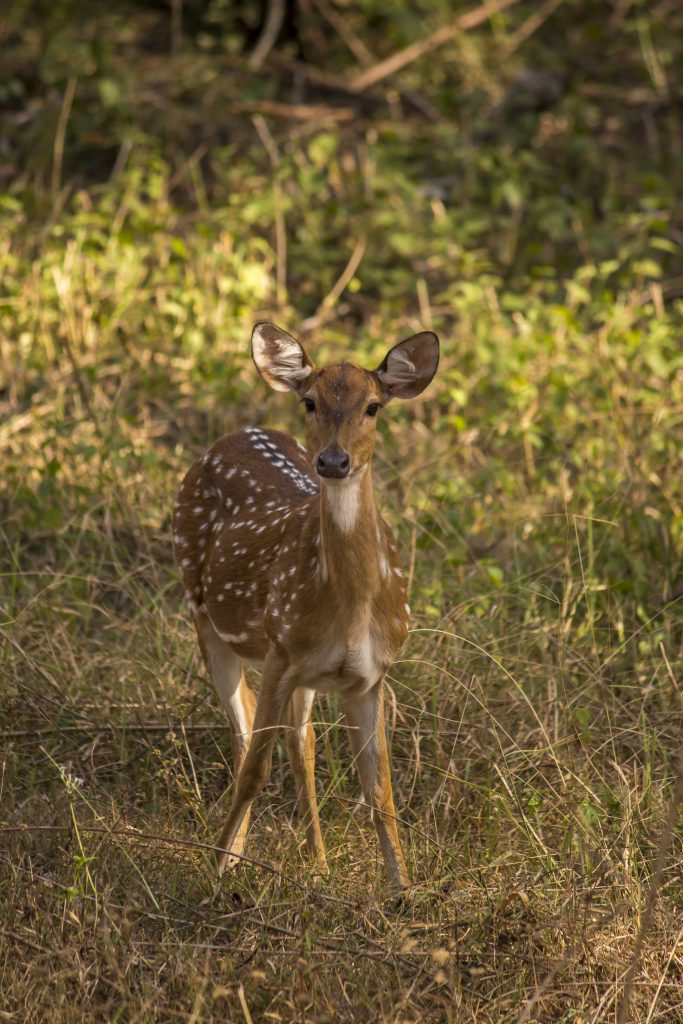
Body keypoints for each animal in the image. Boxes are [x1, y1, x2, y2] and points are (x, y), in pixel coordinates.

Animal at [173, 323, 439, 888]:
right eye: (311, 402)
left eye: (374, 406)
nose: (334, 461)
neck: (351, 609)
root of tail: (238, 431)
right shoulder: (280, 650)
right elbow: (255, 769)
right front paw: (214, 870)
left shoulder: (371, 674)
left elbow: (380, 791)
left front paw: (404, 890)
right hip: (204, 613)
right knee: (245, 729)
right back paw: (237, 855)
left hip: (305, 672)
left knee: (302, 742)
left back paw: (316, 862)